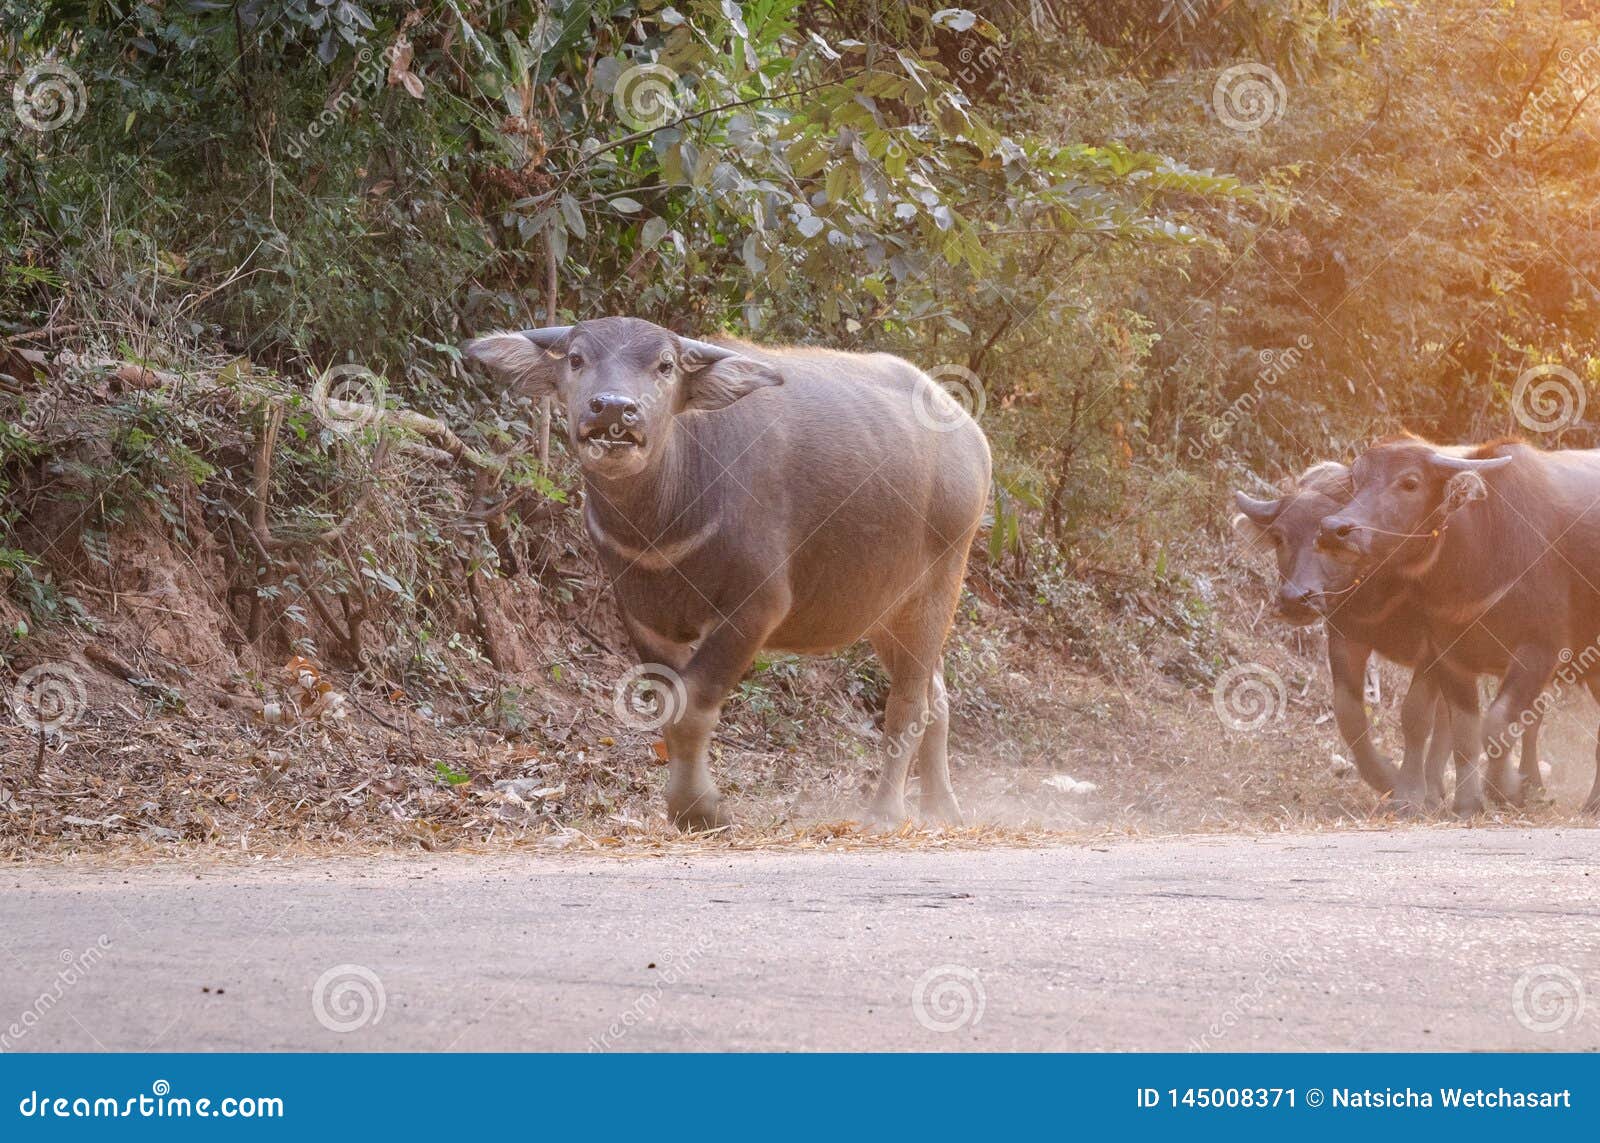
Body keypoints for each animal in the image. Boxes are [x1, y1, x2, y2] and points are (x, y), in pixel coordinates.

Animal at [467, 317, 991, 830]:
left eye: (665, 365)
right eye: (576, 358)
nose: (614, 409)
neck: (669, 512)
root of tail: (974, 441)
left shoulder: (755, 609)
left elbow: (693, 707)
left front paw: (699, 809)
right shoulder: (644, 617)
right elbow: (669, 705)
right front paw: (691, 805)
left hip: (938, 586)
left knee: (909, 703)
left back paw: (885, 814)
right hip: (886, 613)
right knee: (937, 696)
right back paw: (943, 809)